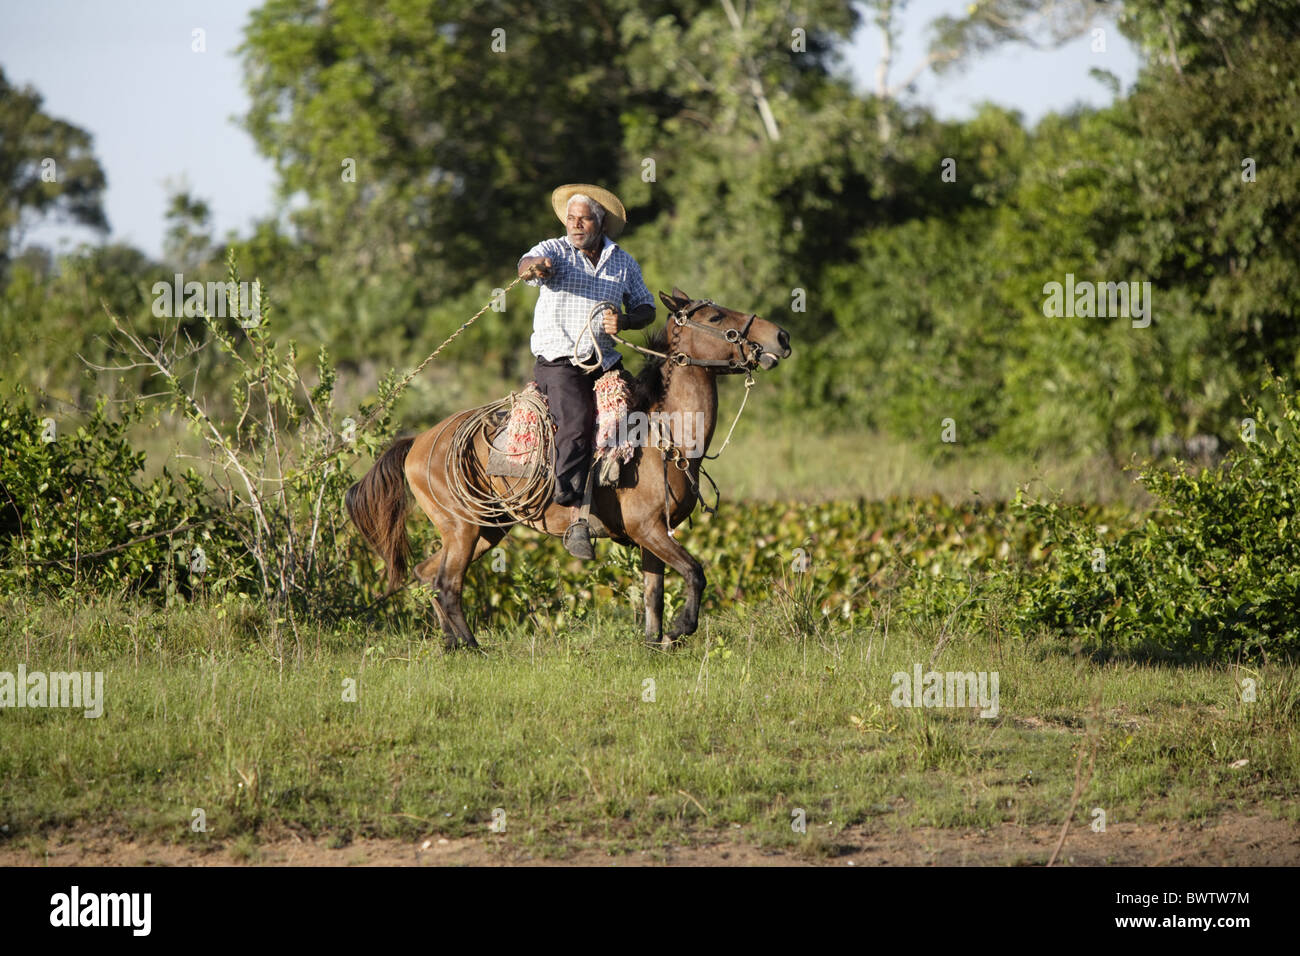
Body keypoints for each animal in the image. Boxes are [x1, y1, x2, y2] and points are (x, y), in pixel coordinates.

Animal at [345, 288, 792, 650]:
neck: (664, 435)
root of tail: (416, 441)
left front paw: (655, 642)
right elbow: (695, 573)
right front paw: (682, 629)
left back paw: (451, 642)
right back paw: (470, 645)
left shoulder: (653, 534)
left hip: (486, 530)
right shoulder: (647, 529)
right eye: (715, 318)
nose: (781, 337)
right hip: (463, 528)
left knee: (427, 575)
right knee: (447, 583)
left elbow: (654, 592)